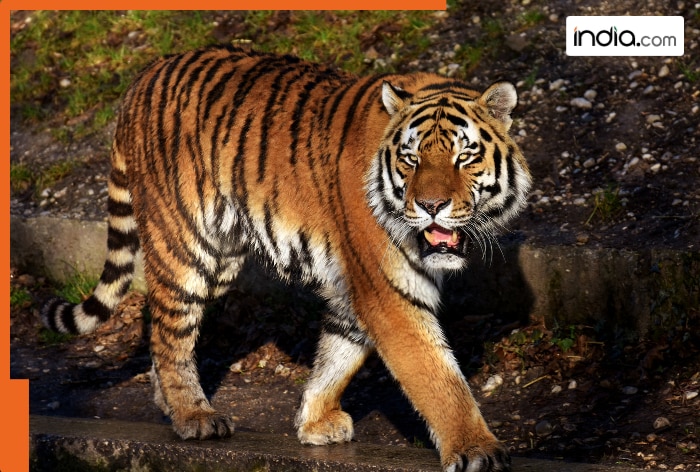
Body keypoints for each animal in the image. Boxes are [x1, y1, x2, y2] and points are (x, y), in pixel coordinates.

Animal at [41, 45, 531, 472]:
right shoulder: (387, 289)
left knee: (160, 326)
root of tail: (143, 77)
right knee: (171, 331)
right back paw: (193, 416)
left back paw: (170, 404)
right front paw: (476, 450)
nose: (430, 206)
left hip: (221, 259)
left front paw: (314, 422)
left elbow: (338, 354)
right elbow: (437, 377)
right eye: (410, 160)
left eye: (464, 156)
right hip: (184, 247)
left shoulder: (355, 287)